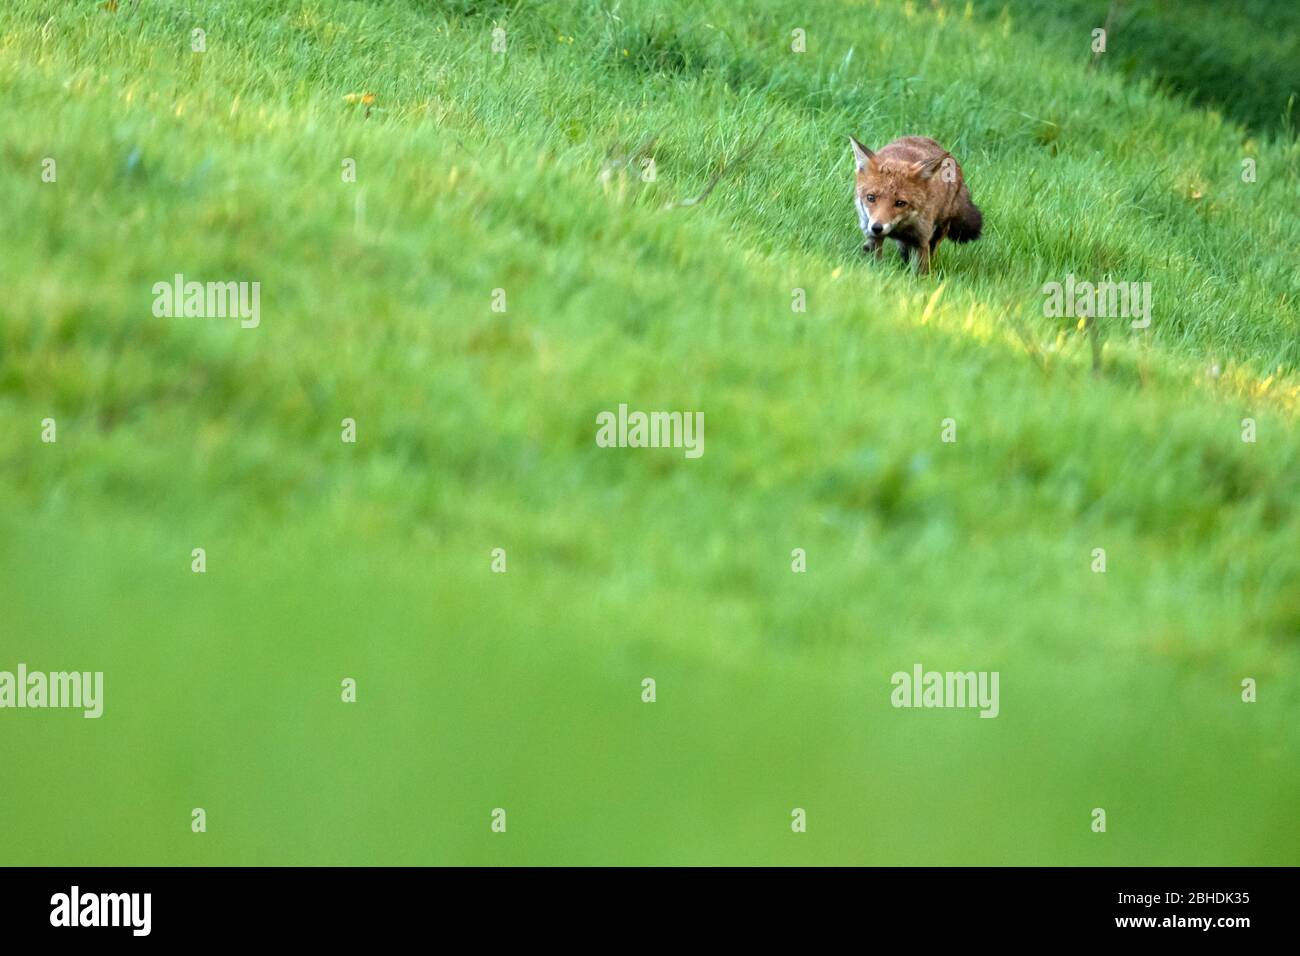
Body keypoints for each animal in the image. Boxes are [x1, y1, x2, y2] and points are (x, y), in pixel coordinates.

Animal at [850, 134, 982, 275]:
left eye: (900, 203)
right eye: (871, 198)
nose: (877, 227)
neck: (899, 228)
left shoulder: (920, 241)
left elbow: (919, 274)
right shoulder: (873, 236)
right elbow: (874, 263)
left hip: (938, 230)